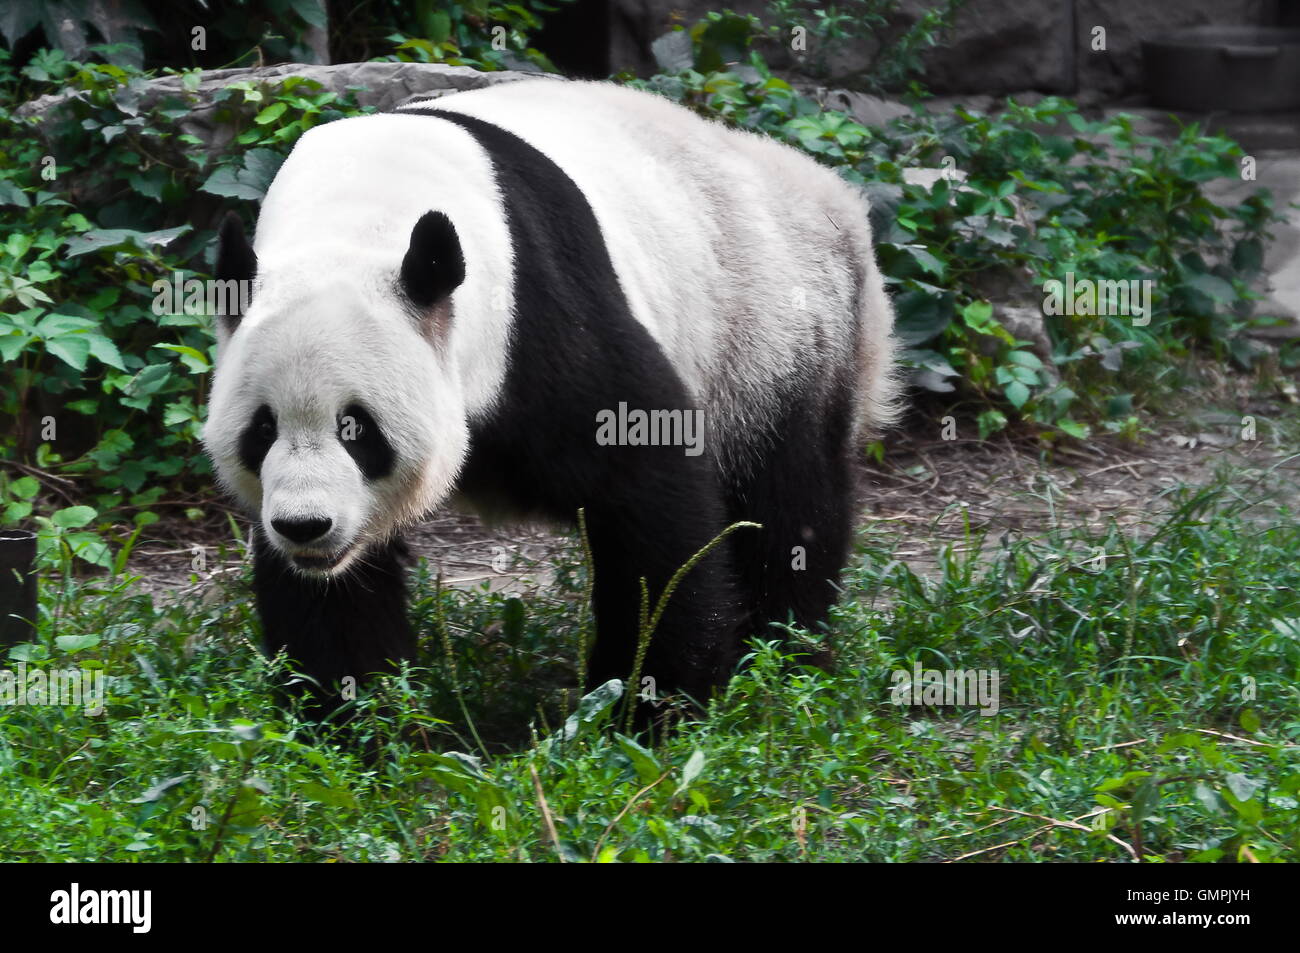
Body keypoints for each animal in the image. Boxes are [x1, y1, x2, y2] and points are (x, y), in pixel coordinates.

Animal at [203, 79, 899, 720]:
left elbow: (648, 493)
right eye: (261, 431)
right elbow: (329, 591)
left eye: (358, 429)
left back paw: (784, 655)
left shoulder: (541, 313)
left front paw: (648, 704)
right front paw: (345, 718)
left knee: (787, 501)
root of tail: (832, 197)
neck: (359, 214)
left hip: (772, 330)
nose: (306, 525)